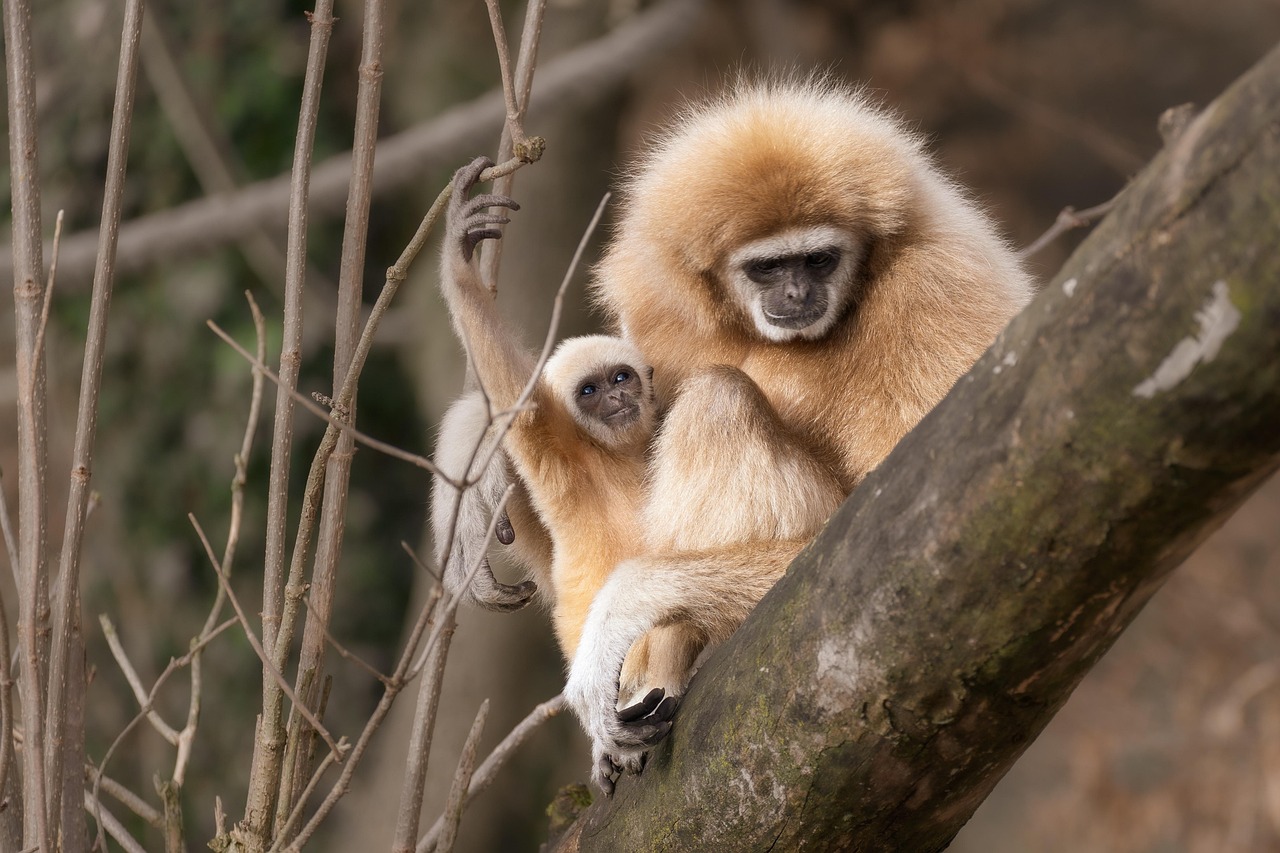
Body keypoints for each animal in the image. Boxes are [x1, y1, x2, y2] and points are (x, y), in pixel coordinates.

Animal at [564, 77, 1034, 792]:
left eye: (818, 259)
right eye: (766, 268)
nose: (795, 292)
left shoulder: (938, 283)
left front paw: (620, 609)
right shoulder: (658, 305)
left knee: (718, 400)